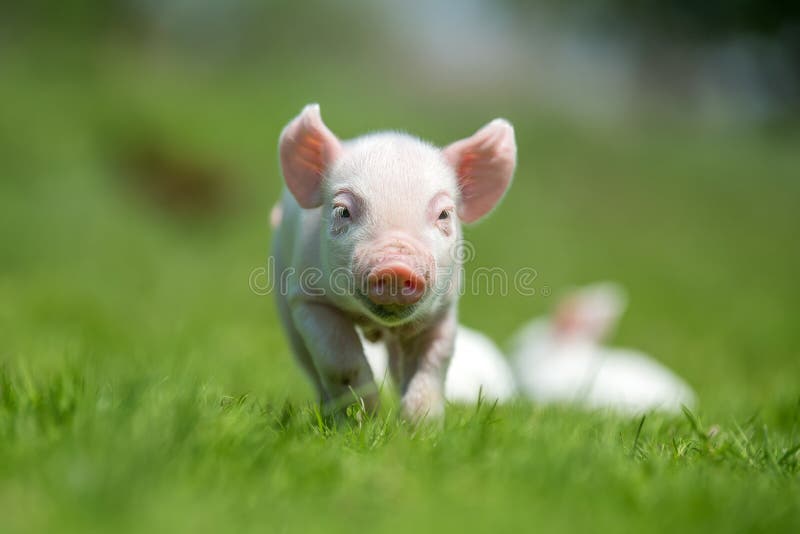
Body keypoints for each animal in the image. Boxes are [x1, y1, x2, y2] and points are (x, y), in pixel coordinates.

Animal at [271, 104, 516, 422]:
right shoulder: (308, 299)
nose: (396, 267)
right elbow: (341, 362)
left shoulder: (443, 310)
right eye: (342, 211)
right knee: (310, 366)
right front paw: (363, 419)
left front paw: (420, 426)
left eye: (444, 214)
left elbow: (433, 364)